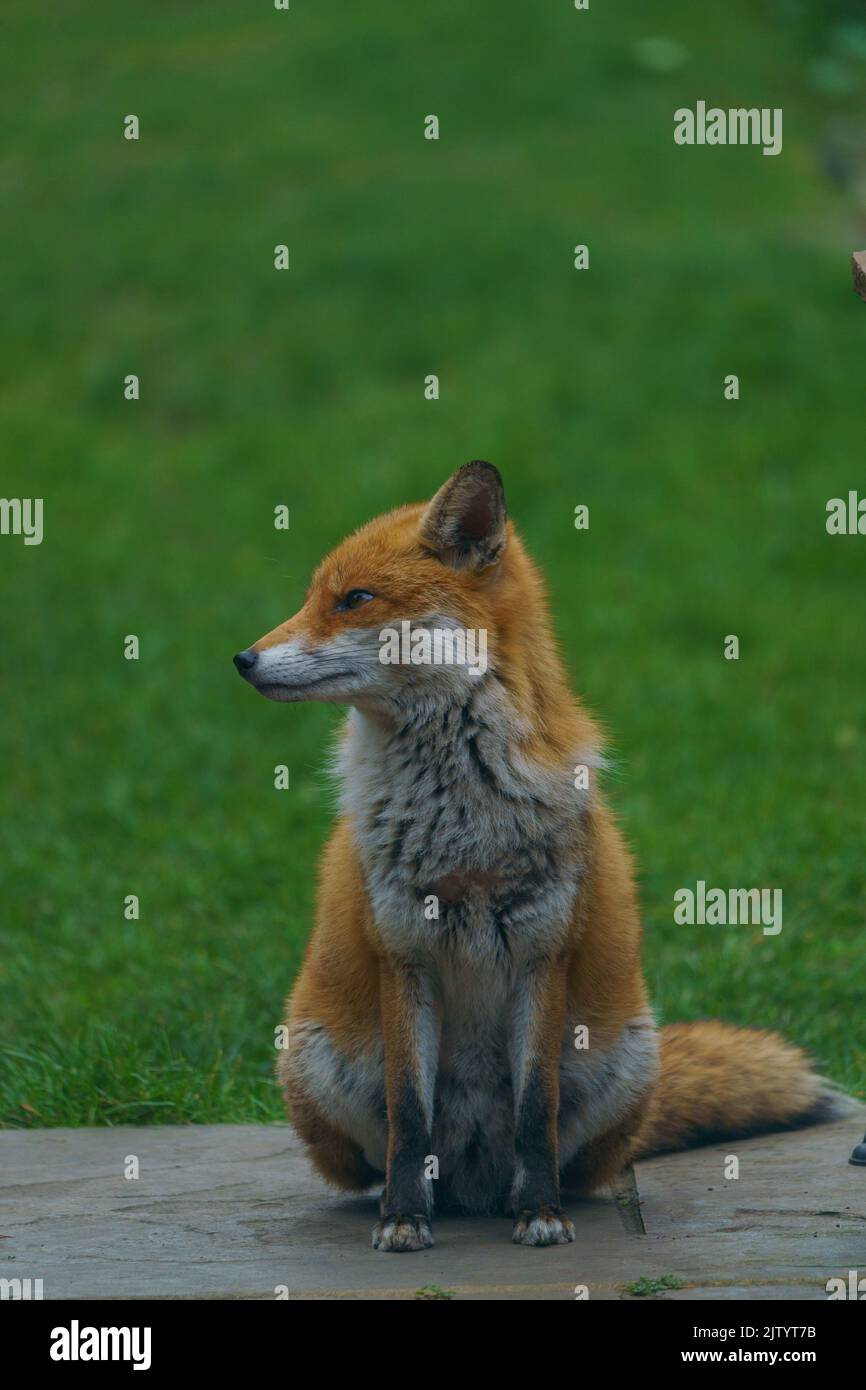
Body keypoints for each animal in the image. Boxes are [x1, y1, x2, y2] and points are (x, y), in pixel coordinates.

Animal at [234, 461, 845, 1252]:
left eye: (354, 600)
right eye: (313, 597)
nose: (242, 660)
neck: (463, 827)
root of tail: (471, 1184)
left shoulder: (542, 952)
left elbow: (535, 1111)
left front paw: (541, 1213)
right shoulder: (404, 955)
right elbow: (409, 1116)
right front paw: (403, 1217)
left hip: (626, 1057)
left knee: (562, 1149)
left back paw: (527, 1197)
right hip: (311, 1059)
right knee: (389, 1152)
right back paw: (410, 1202)